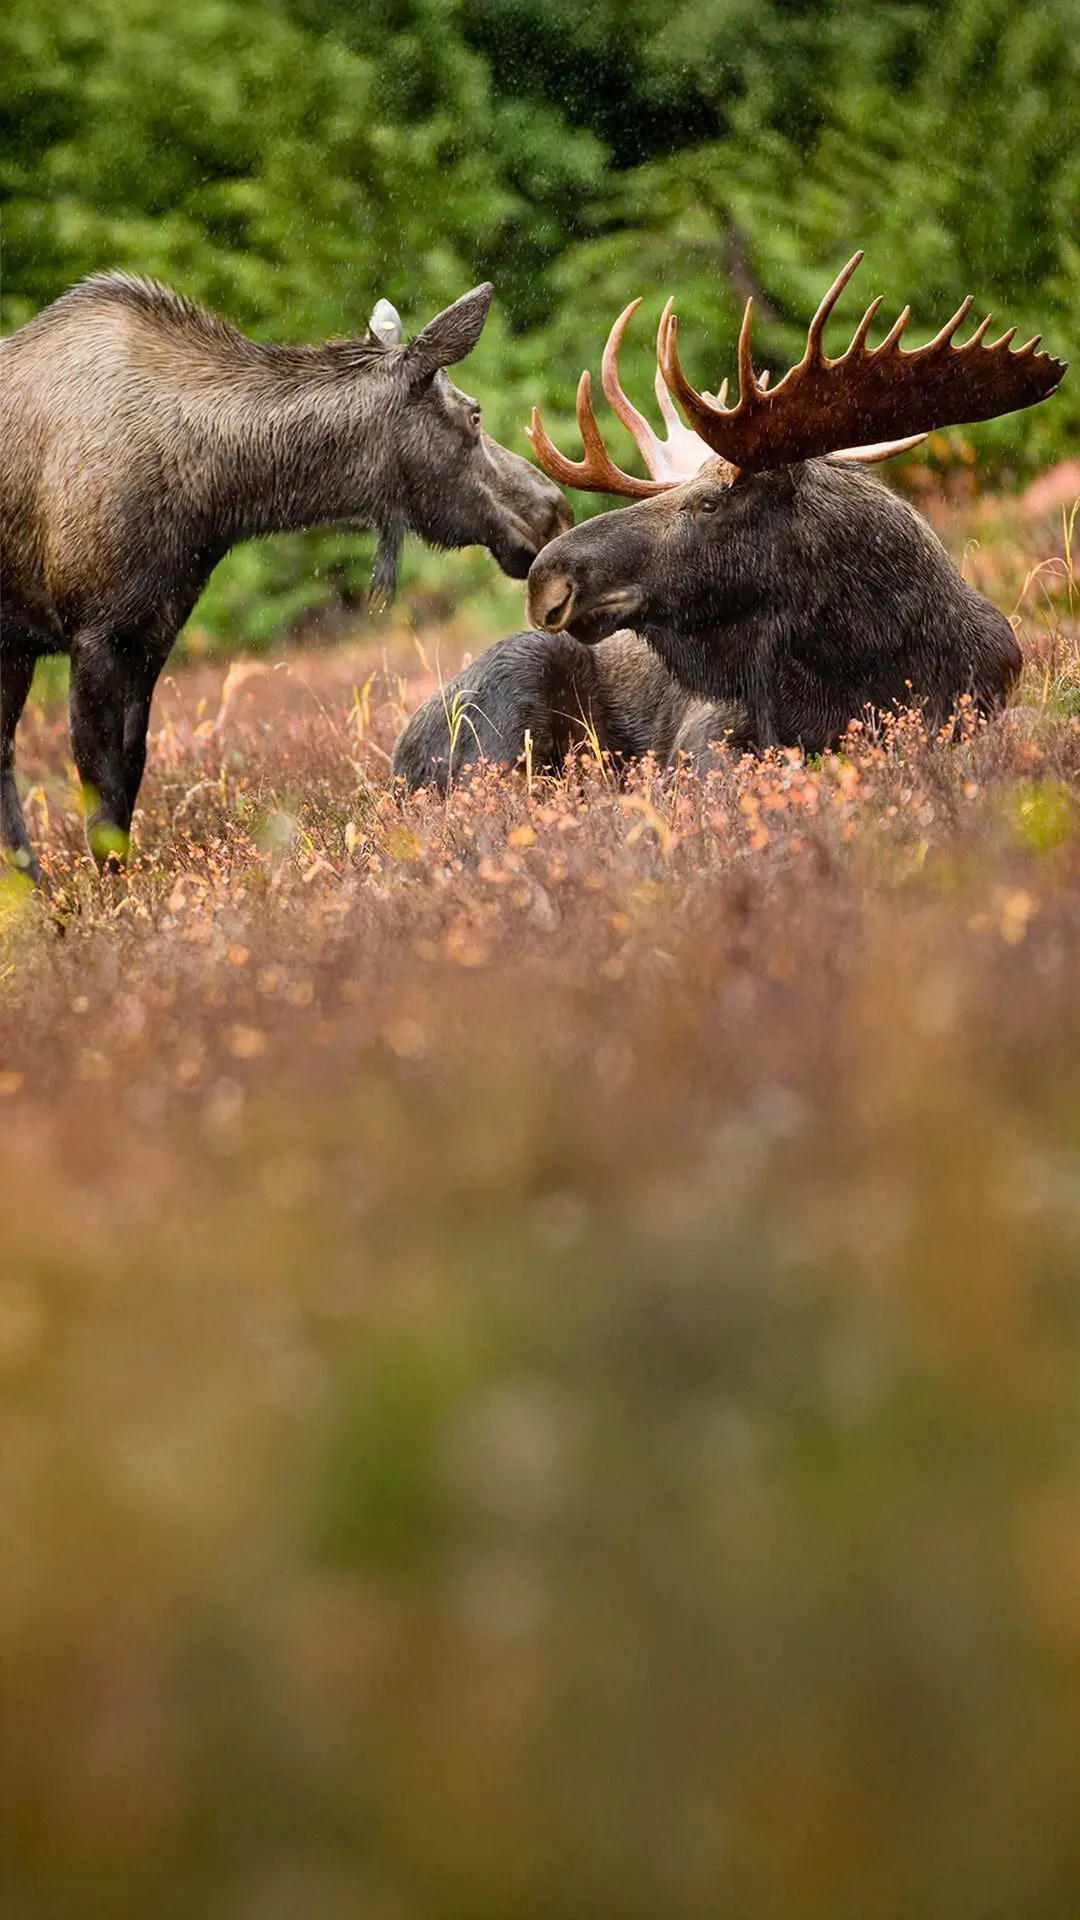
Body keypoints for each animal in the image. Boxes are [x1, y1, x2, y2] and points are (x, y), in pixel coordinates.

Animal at [0, 277, 569, 879]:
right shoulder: (94, 632)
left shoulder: (151, 632)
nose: (553, 509)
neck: (214, 498)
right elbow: (101, 792)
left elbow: (130, 773)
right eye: (474, 415)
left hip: (14, 650)